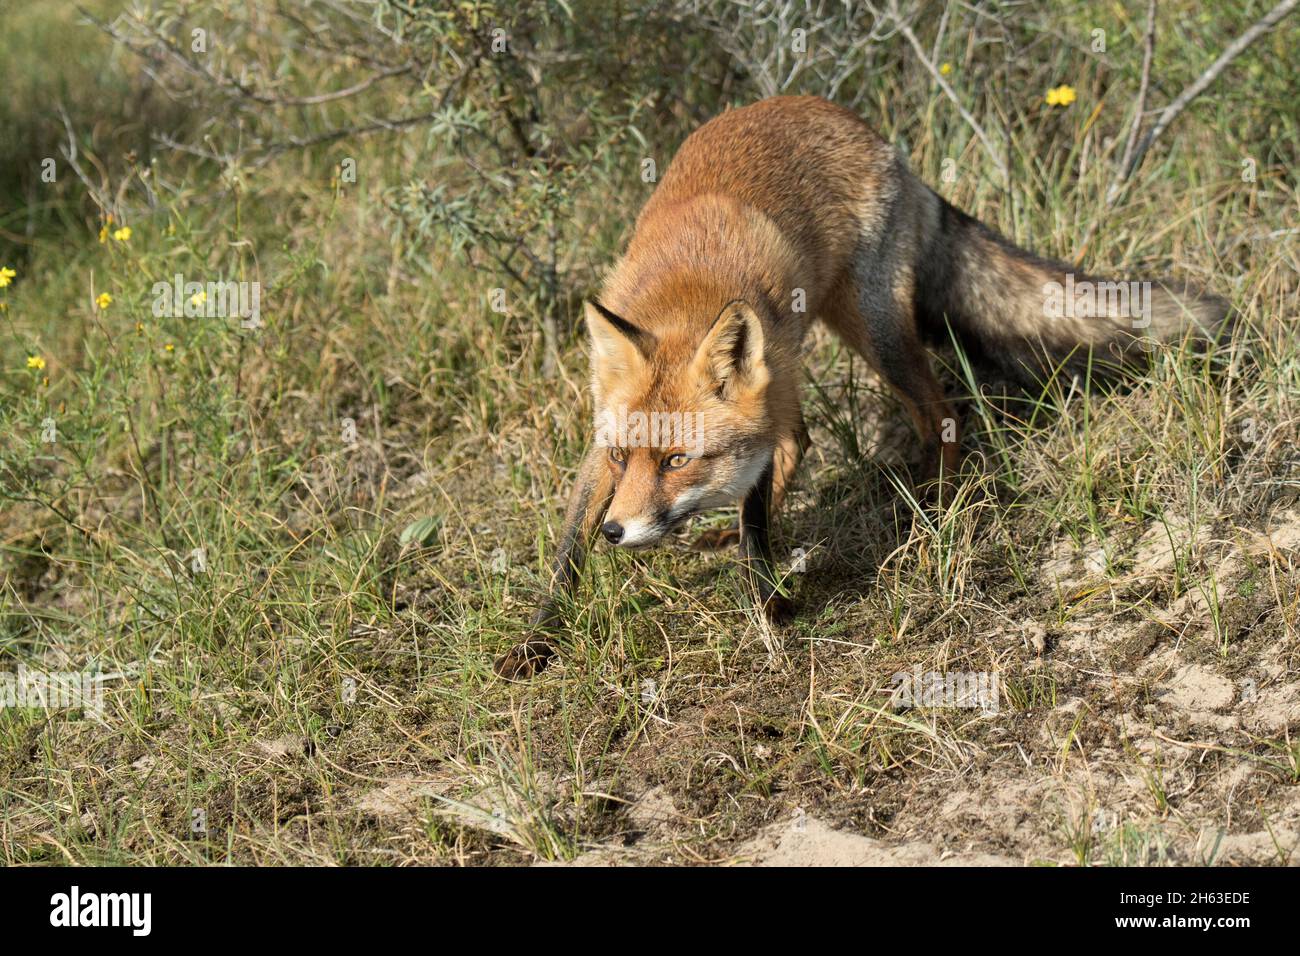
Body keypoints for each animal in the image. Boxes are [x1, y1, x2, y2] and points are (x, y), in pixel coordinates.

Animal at [494, 95, 1228, 680]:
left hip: (872, 332)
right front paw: (538, 643)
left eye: (678, 460)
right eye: (625, 458)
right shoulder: (605, 445)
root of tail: (866, 131)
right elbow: (566, 552)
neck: (687, 290)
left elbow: (756, 529)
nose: (618, 531)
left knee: (941, 411)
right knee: (803, 436)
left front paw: (768, 612)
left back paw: (936, 509)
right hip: (804, 359)